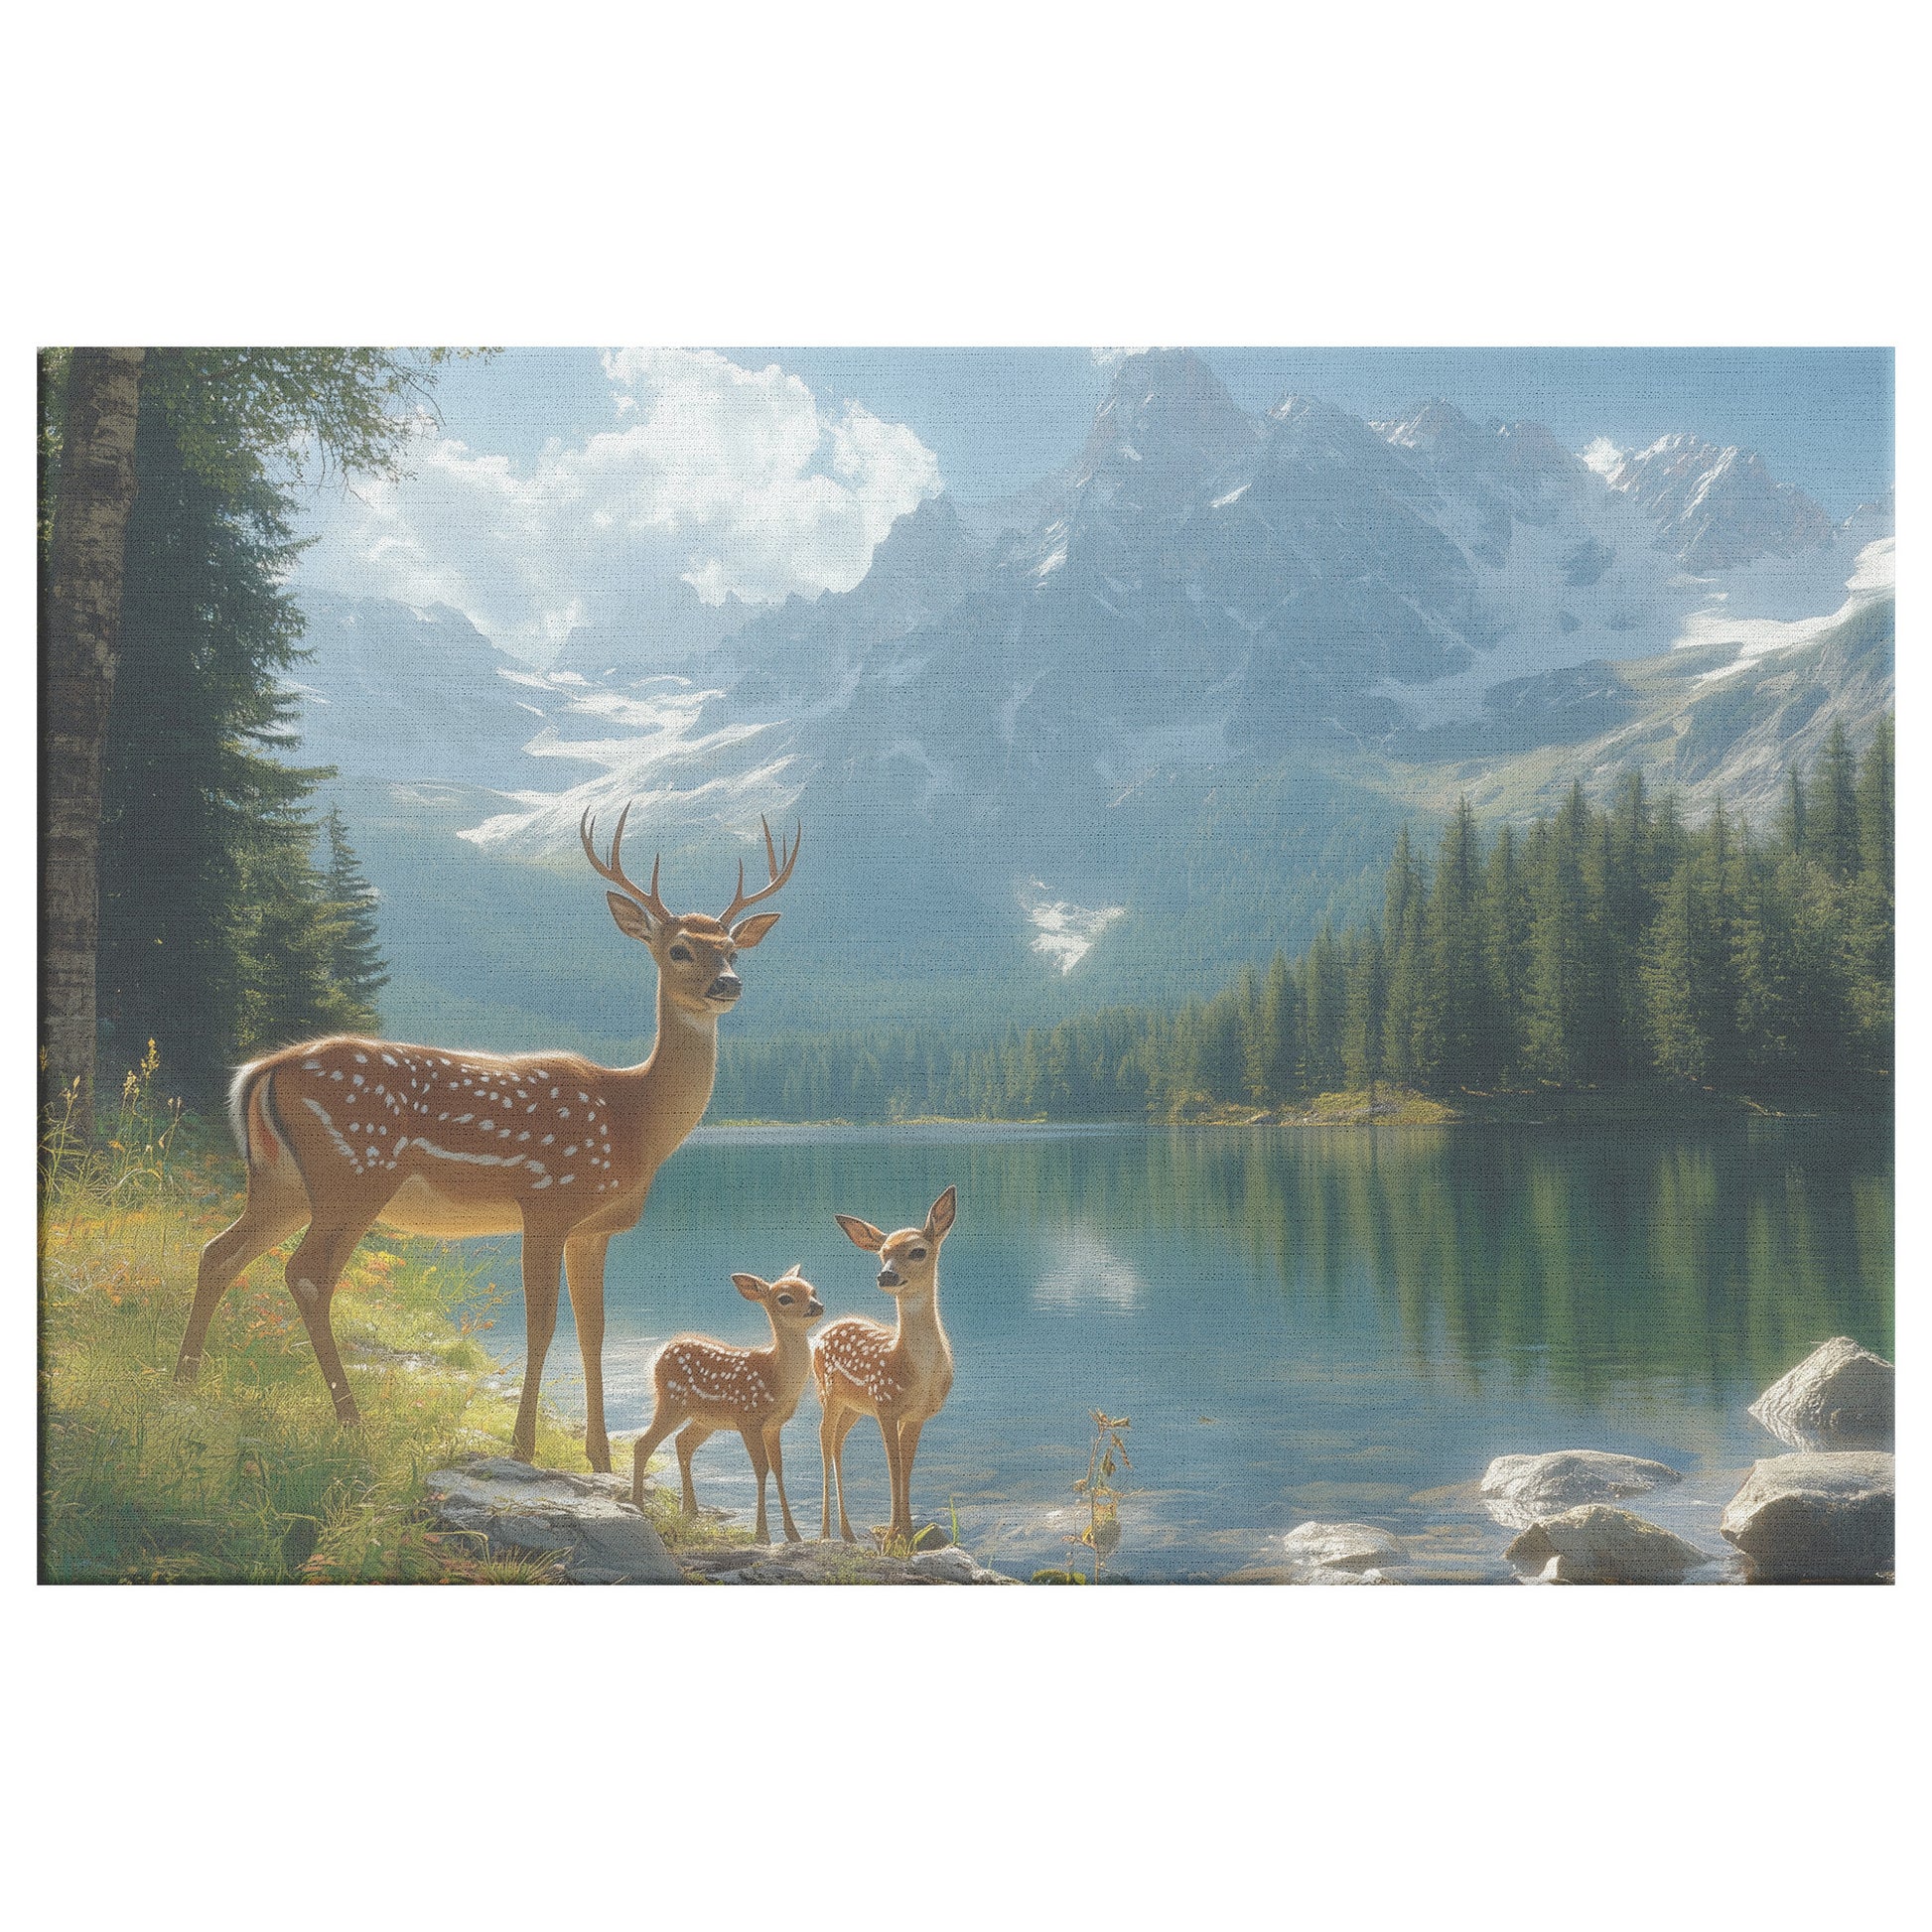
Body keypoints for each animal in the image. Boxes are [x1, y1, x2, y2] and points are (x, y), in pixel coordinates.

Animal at [172, 805, 800, 1474]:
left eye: (732, 949)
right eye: (679, 949)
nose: (727, 985)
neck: (633, 1119)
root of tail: (265, 1068)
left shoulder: (595, 1227)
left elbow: (593, 1330)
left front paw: (599, 1460)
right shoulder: (548, 1200)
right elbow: (541, 1324)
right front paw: (523, 1447)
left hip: (282, 1183)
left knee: (218, 1252)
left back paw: (183, 1387)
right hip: (354, 1172)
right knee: (308, 1274)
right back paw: (350, 1420)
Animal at [629, 1266, 826, 1543]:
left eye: (812, 1290)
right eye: (785, 1298)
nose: (817, 1306)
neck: (776, 1376)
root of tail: (659, 1354)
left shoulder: (773, 1425)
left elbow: (778, 1469)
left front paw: (793, 1534)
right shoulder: (748, 1418)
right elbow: (761, 1468)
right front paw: (762, 1535)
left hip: (705, 1419)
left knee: (682, 1442)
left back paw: (690, 1511)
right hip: (672, 1401)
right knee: (643, 1444)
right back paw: (638, 1504)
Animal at [814, 1186, 957, 1547]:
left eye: (918, 1251)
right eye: (882, 1253)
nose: (886, 1275)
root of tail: (821, 1332)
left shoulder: (917, 1414)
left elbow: (906, 1465)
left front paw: (906, 1534)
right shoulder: (885, 1404)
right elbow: (893, 1465)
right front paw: (895, 1535)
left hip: (854, 1405)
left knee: (838, 1440)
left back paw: (848, 1533)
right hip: (828, 1393)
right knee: (824, 1436)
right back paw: (825, 1533)